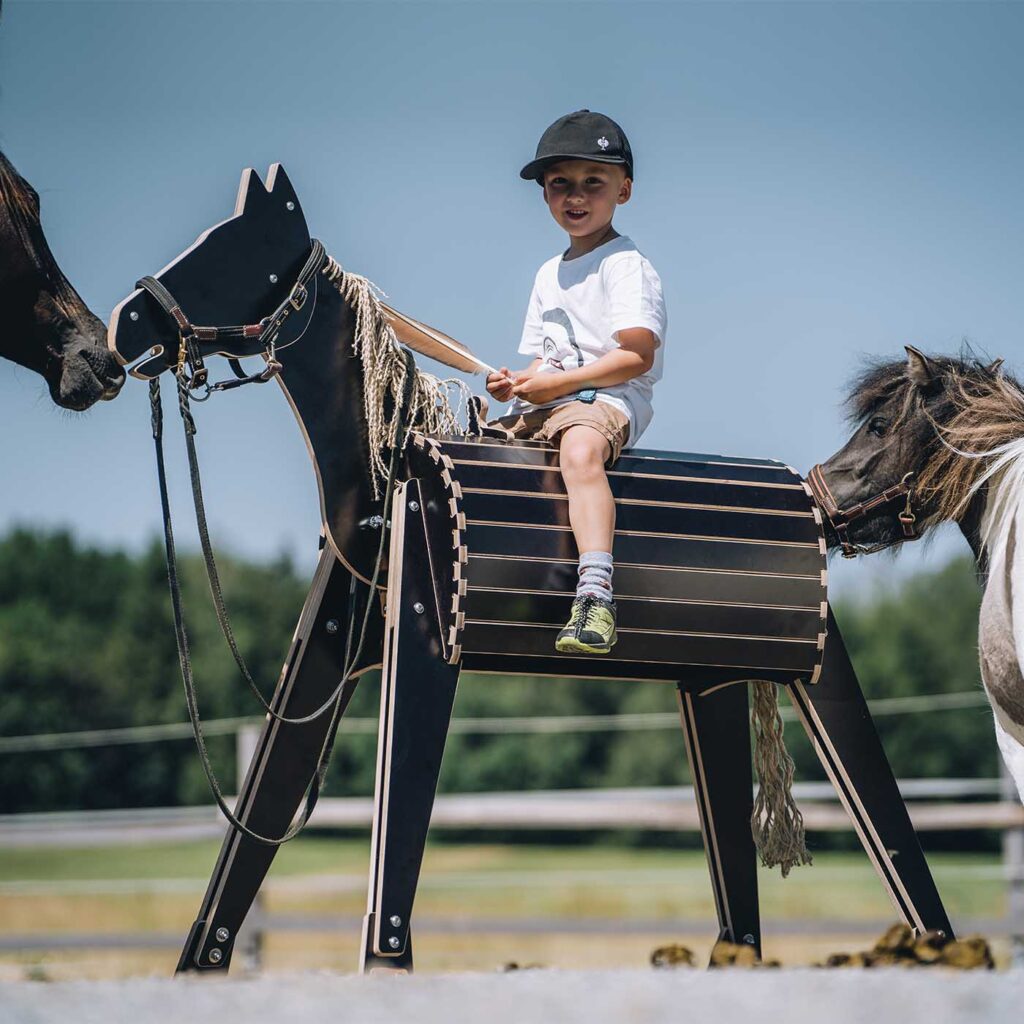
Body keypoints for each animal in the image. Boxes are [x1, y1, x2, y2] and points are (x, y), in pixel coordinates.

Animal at [108, 164, 954, 974]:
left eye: (226, 253)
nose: (124, 324)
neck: (392, 471)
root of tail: (809, 499)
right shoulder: (333, 645)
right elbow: (226, 896)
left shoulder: (427, 640)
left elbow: (390, 900)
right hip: (709, 679)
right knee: (738, 926)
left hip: (817, 669)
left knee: (915, 890)